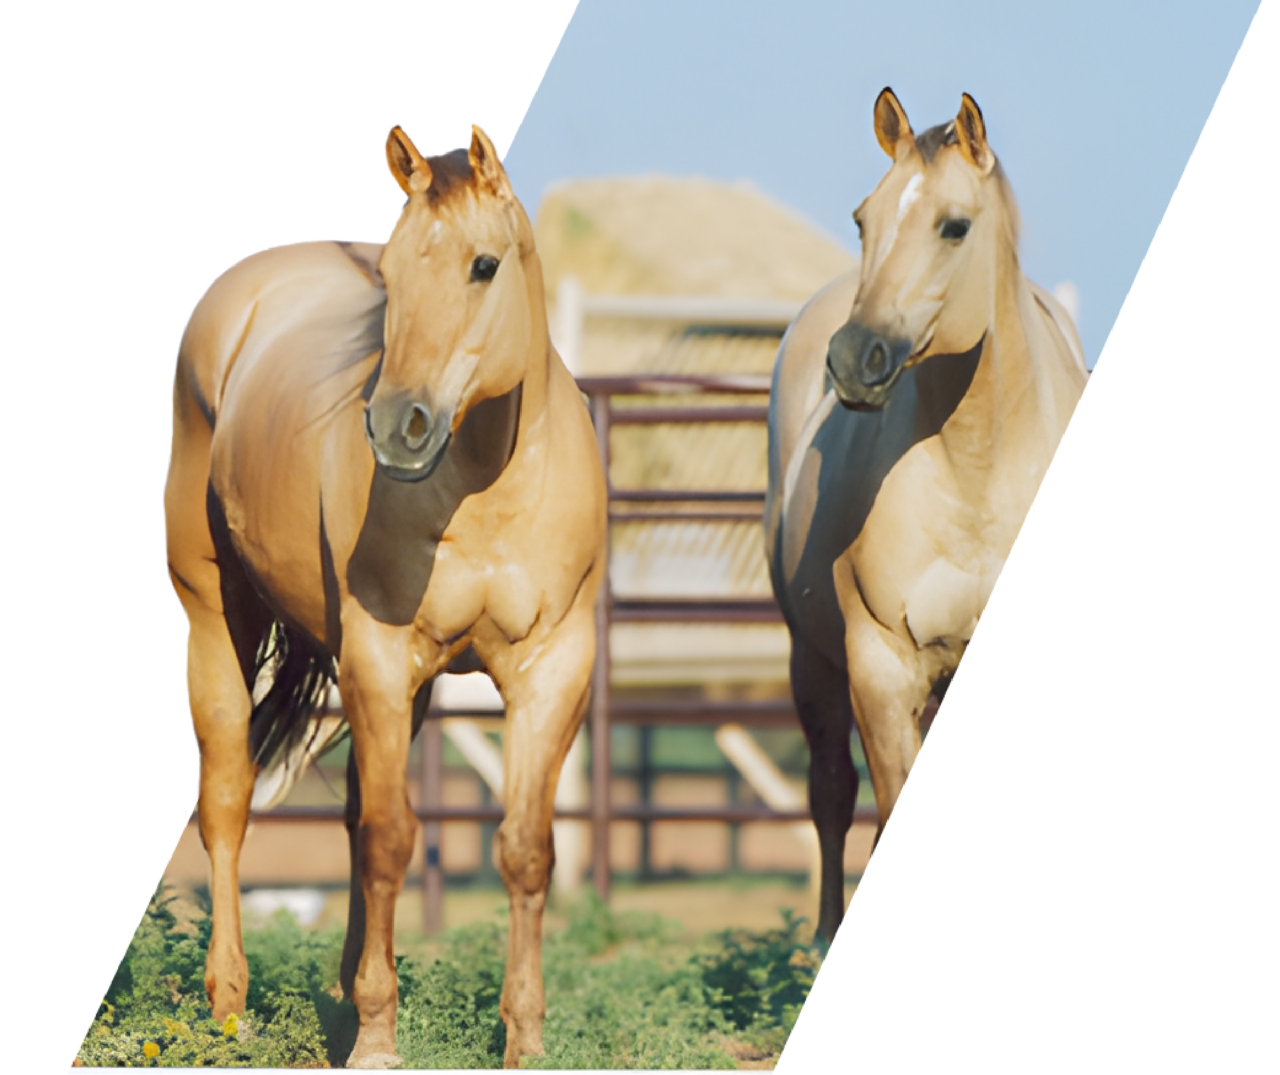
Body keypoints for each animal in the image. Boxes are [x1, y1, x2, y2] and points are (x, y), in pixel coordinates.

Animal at [163, 121, 608, 1069]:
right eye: (394, 277)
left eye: (484, 265)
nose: (399, 426)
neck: (485, 481)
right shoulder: (379, 656)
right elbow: (392, 838)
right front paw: (376, 1037)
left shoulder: (553, 669)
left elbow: (524, 847)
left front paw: (523, 1037)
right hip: (217, 618)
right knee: (228, 803)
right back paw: (229, 1008)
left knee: (353, 811)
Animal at [764, 89, 1088, 946]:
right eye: (862, 219)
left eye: (954, 225)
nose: (855, 360)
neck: (976, 469)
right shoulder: (881, 667)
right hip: (813, 661)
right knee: (830, 791)